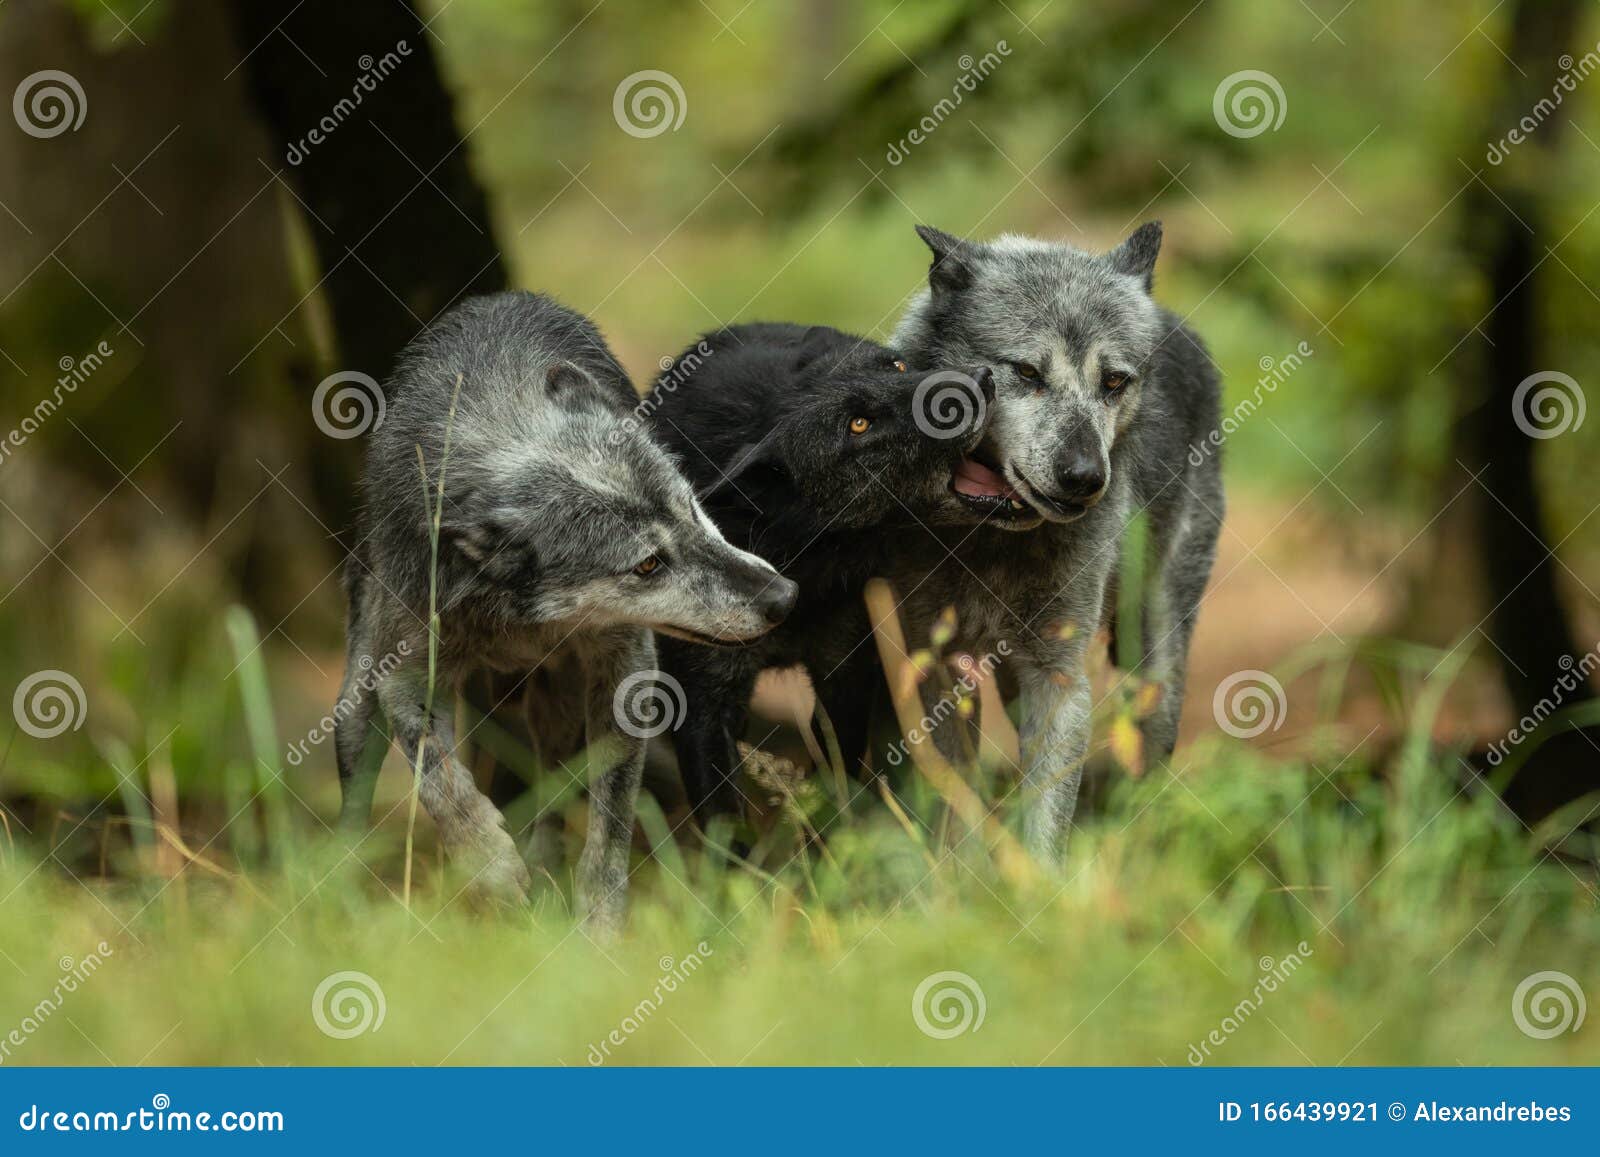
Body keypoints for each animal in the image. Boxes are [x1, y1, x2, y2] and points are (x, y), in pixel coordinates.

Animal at [333, 291, 796, 930]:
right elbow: (436, 777)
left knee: (553, 789)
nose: (783, 597)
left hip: (556, 705)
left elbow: (610, 826)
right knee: (357, 804)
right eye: (648, 564)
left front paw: (598, 930)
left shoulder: (626, 673)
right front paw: (491, 865)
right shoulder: (403, 677)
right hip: (356, 708)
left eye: (693, 511)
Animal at [646, 323, 995, 822]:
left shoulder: (845, 677)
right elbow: (725, 826)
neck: (797, 568)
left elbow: (831, 793)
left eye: (898, 367)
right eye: (859, 425)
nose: (984, 377)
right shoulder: (701, 704)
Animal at [889, 222, 1224, 862]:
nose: (1086, 477)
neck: (992, 540)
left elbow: (1046, 822)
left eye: (1113, 381)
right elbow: (960, 810)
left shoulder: (1060, 678)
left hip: (1152, 656)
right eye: (1025, 372)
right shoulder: (940, 668)